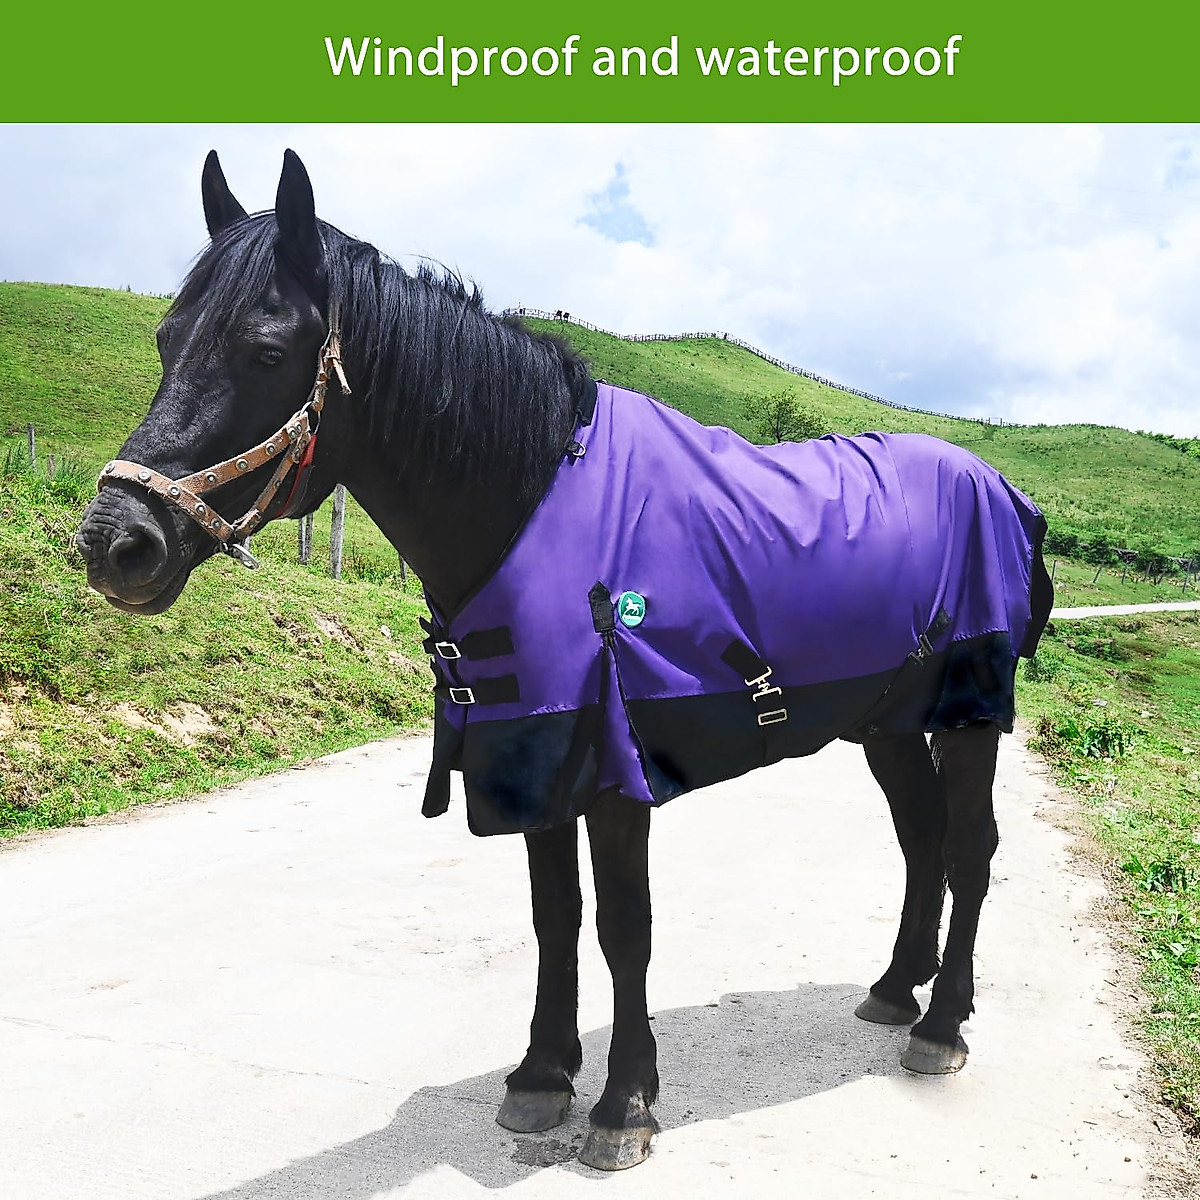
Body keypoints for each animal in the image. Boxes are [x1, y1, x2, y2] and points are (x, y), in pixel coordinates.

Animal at [76, 149, 1053, 1171]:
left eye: (266, 352)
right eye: (165, 340)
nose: (114, 543)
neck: (531, 497)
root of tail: (1004, 490)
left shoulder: (614, 769)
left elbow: (625, 926)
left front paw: (625, 1103)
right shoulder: (531, 748)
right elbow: (556, 916)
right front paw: (542, 1077)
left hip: (968, 715)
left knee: (970, 849)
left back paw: (940, 1024)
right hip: (889, 725)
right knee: (922, 841)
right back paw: (898, 988)